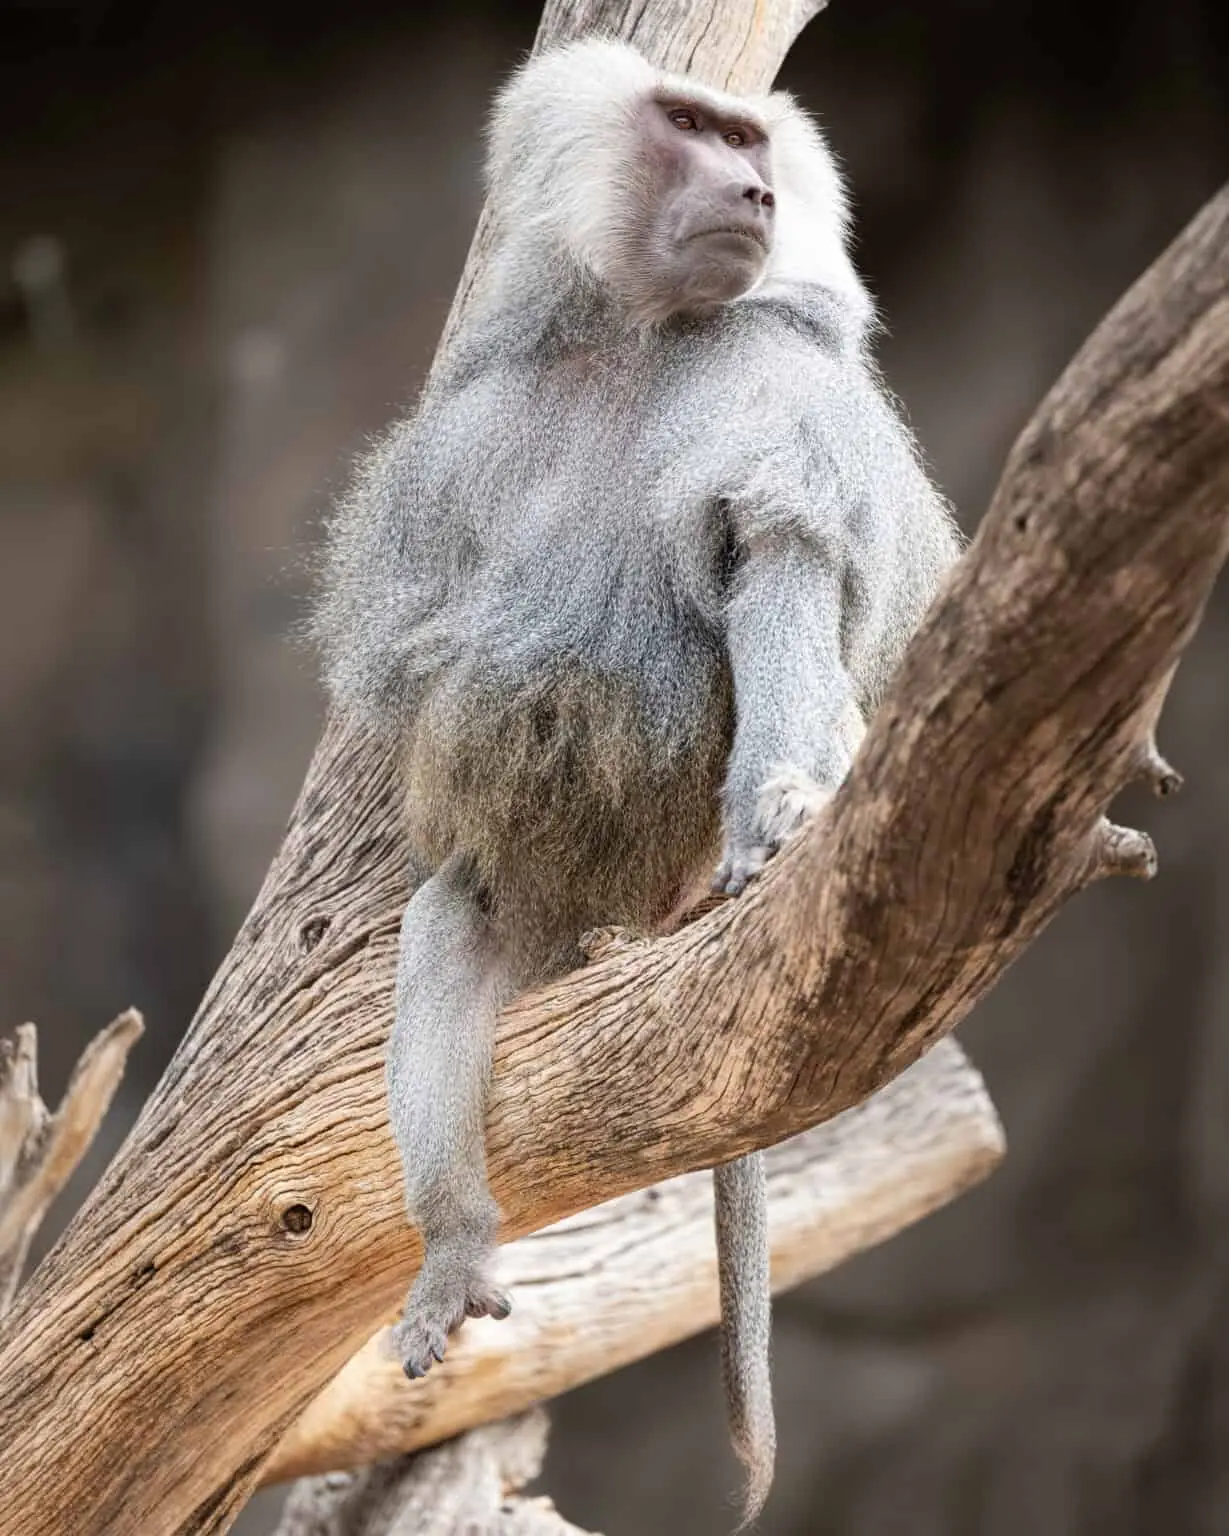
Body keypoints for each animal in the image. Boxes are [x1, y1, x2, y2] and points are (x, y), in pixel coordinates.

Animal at [315, 36, 959, 1524]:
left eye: (750, 140)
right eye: (692, 126)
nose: (753, 191)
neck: (633, 337)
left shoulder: (771, 390)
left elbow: (780, 556)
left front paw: (785, 805)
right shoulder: (466, 435)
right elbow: (427, 647)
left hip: (668, 864)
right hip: (528, 923)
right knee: (451, 933)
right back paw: (457, 1244)